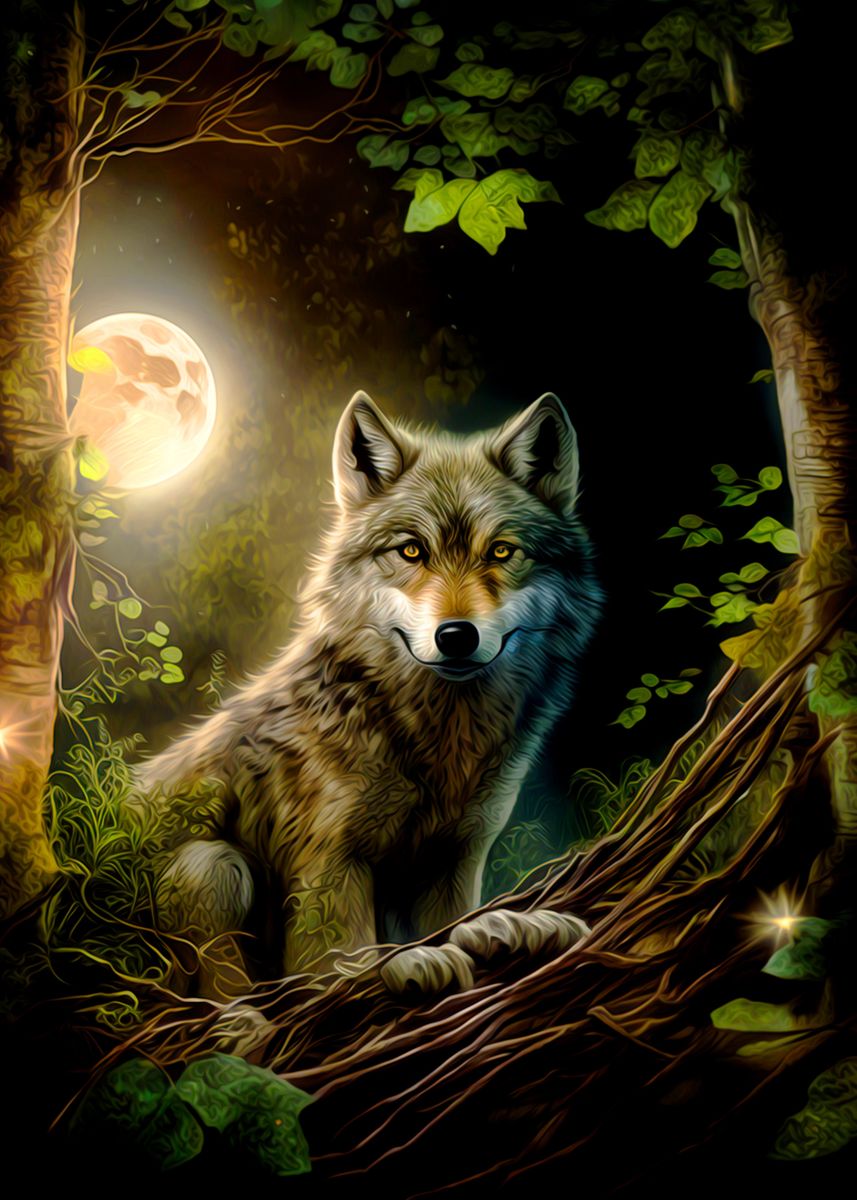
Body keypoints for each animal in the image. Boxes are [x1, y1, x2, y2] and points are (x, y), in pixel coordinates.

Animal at [134, 390, 601, 998]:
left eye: (501, 552)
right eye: (410, 552)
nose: (456, 636)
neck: (436, 740)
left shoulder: (455, 857)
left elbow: (454, 920)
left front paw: (498, 928)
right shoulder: (328, 866)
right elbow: (339, 968)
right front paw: (406, 964)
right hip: (210, 867)